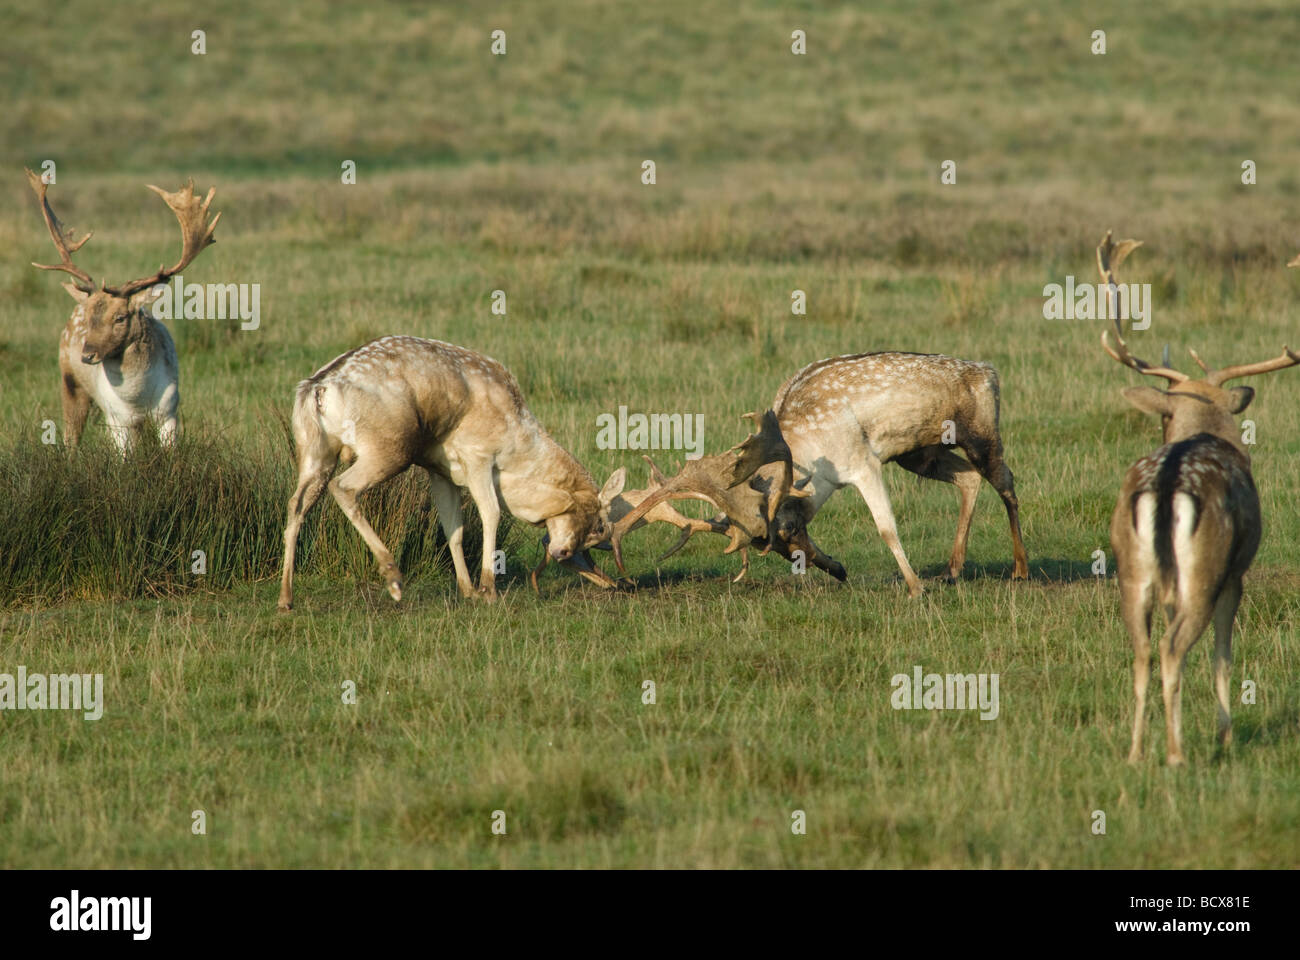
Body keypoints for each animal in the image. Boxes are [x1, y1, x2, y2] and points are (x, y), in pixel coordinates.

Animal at [25, 169, 220, 452]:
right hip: (69, 382)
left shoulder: (169, 410)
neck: (137, 400)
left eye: (120, 317)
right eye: (90, 317)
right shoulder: (117, 419)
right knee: (71, 437)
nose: (88, 355)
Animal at [278, 335, 628, 611]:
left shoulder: (441, 472)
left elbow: (453, 527)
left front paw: (468, 590)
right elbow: (491, 512)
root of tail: (317, 388)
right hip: (389, 451)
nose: (562, 552)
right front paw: (488, 590)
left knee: (296, 504)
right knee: (343, 487)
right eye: (598, 525)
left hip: (315, 454)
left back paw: (286, 599)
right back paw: (394, 579)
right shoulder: (477, 457)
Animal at [1098, 233, 1299, 765]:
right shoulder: (1236, 574)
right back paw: (1175, 753)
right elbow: (1223, 655)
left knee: (1143, 652)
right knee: (1173, 649)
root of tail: (1168, 485)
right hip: (1206, 570)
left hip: (1132, 572)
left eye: (1164, 415)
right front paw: (1225, 734)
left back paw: (1135, 752)